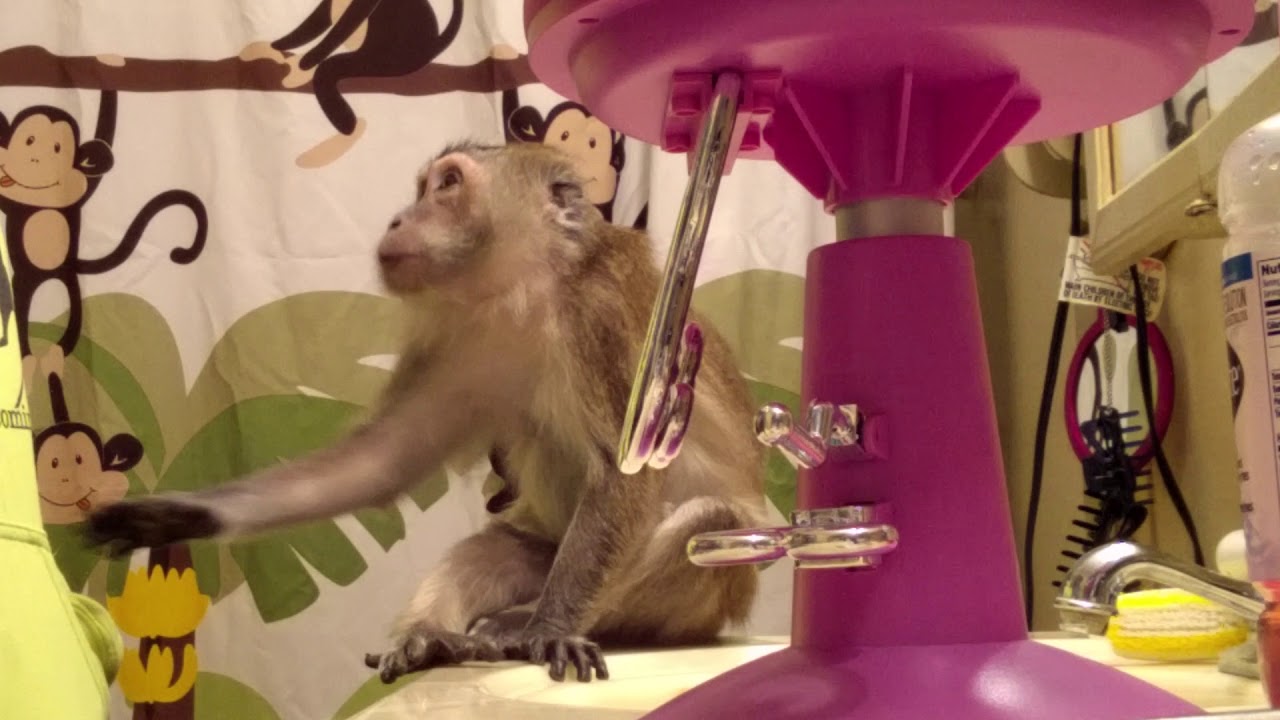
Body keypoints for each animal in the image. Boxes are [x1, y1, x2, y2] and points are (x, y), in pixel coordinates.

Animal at [0, 90, 208, 392]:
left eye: (57, 147)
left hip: (69, 294)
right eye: (29, 140)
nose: (36, 159)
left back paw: (50, 363)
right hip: (27, 288)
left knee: (57, 347)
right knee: (28, 344)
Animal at [84, 140, 768, 685]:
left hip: (714, 589)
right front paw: (169, 515)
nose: (397, 217)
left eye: (448, 184)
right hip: (544, 545)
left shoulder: (599, 316)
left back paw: (524, 625)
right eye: (426, 187)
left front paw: (551, 628)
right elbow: (381, 461)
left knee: (707, 522)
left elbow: (625, 471)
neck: (530, 295)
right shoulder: (457, 343)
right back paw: (438, 639)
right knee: (491, 551)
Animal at [242, 0, 463, 168]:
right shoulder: (326, 8)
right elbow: (308, 27)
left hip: (386, 57)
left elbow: (335, 33)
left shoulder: (359, 8)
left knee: (328, 73)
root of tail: (434, 43)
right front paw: (269, 49)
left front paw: (301, 69)